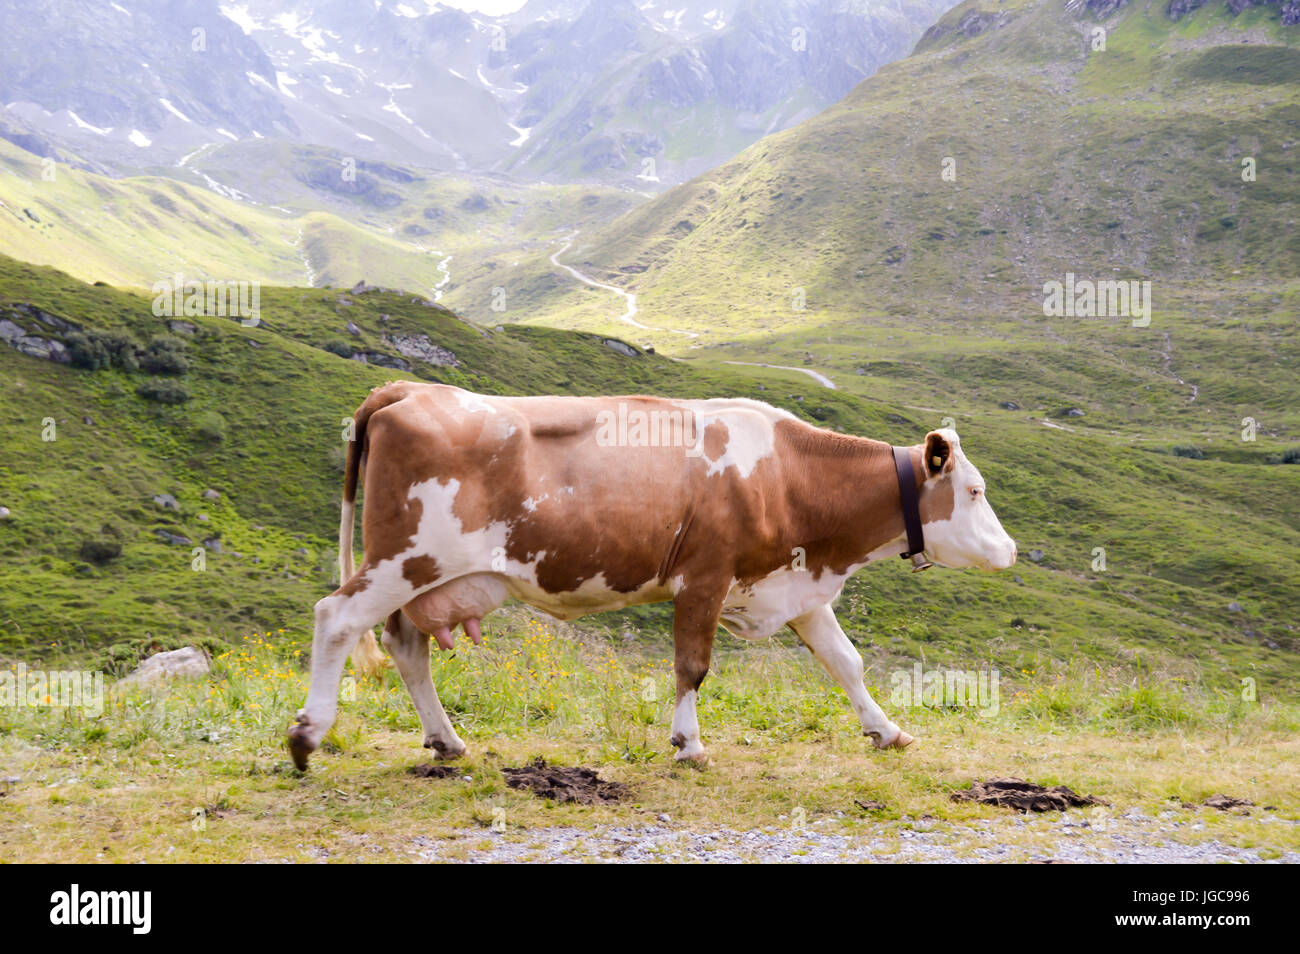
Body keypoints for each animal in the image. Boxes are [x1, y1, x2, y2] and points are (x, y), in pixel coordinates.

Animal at [288, 381, 1017, 769]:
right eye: (976, 491)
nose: (1010, 551)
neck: (787, 477)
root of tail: (409, 389)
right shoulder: (705, 576)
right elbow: (692, 666)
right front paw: (689, 743)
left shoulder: (795, 586)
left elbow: (846, 662)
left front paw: (886, 730)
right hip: (405, 559)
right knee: (337, 618)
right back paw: (307, 734)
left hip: (424, 576)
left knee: (405, 647)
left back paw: (446, 741)